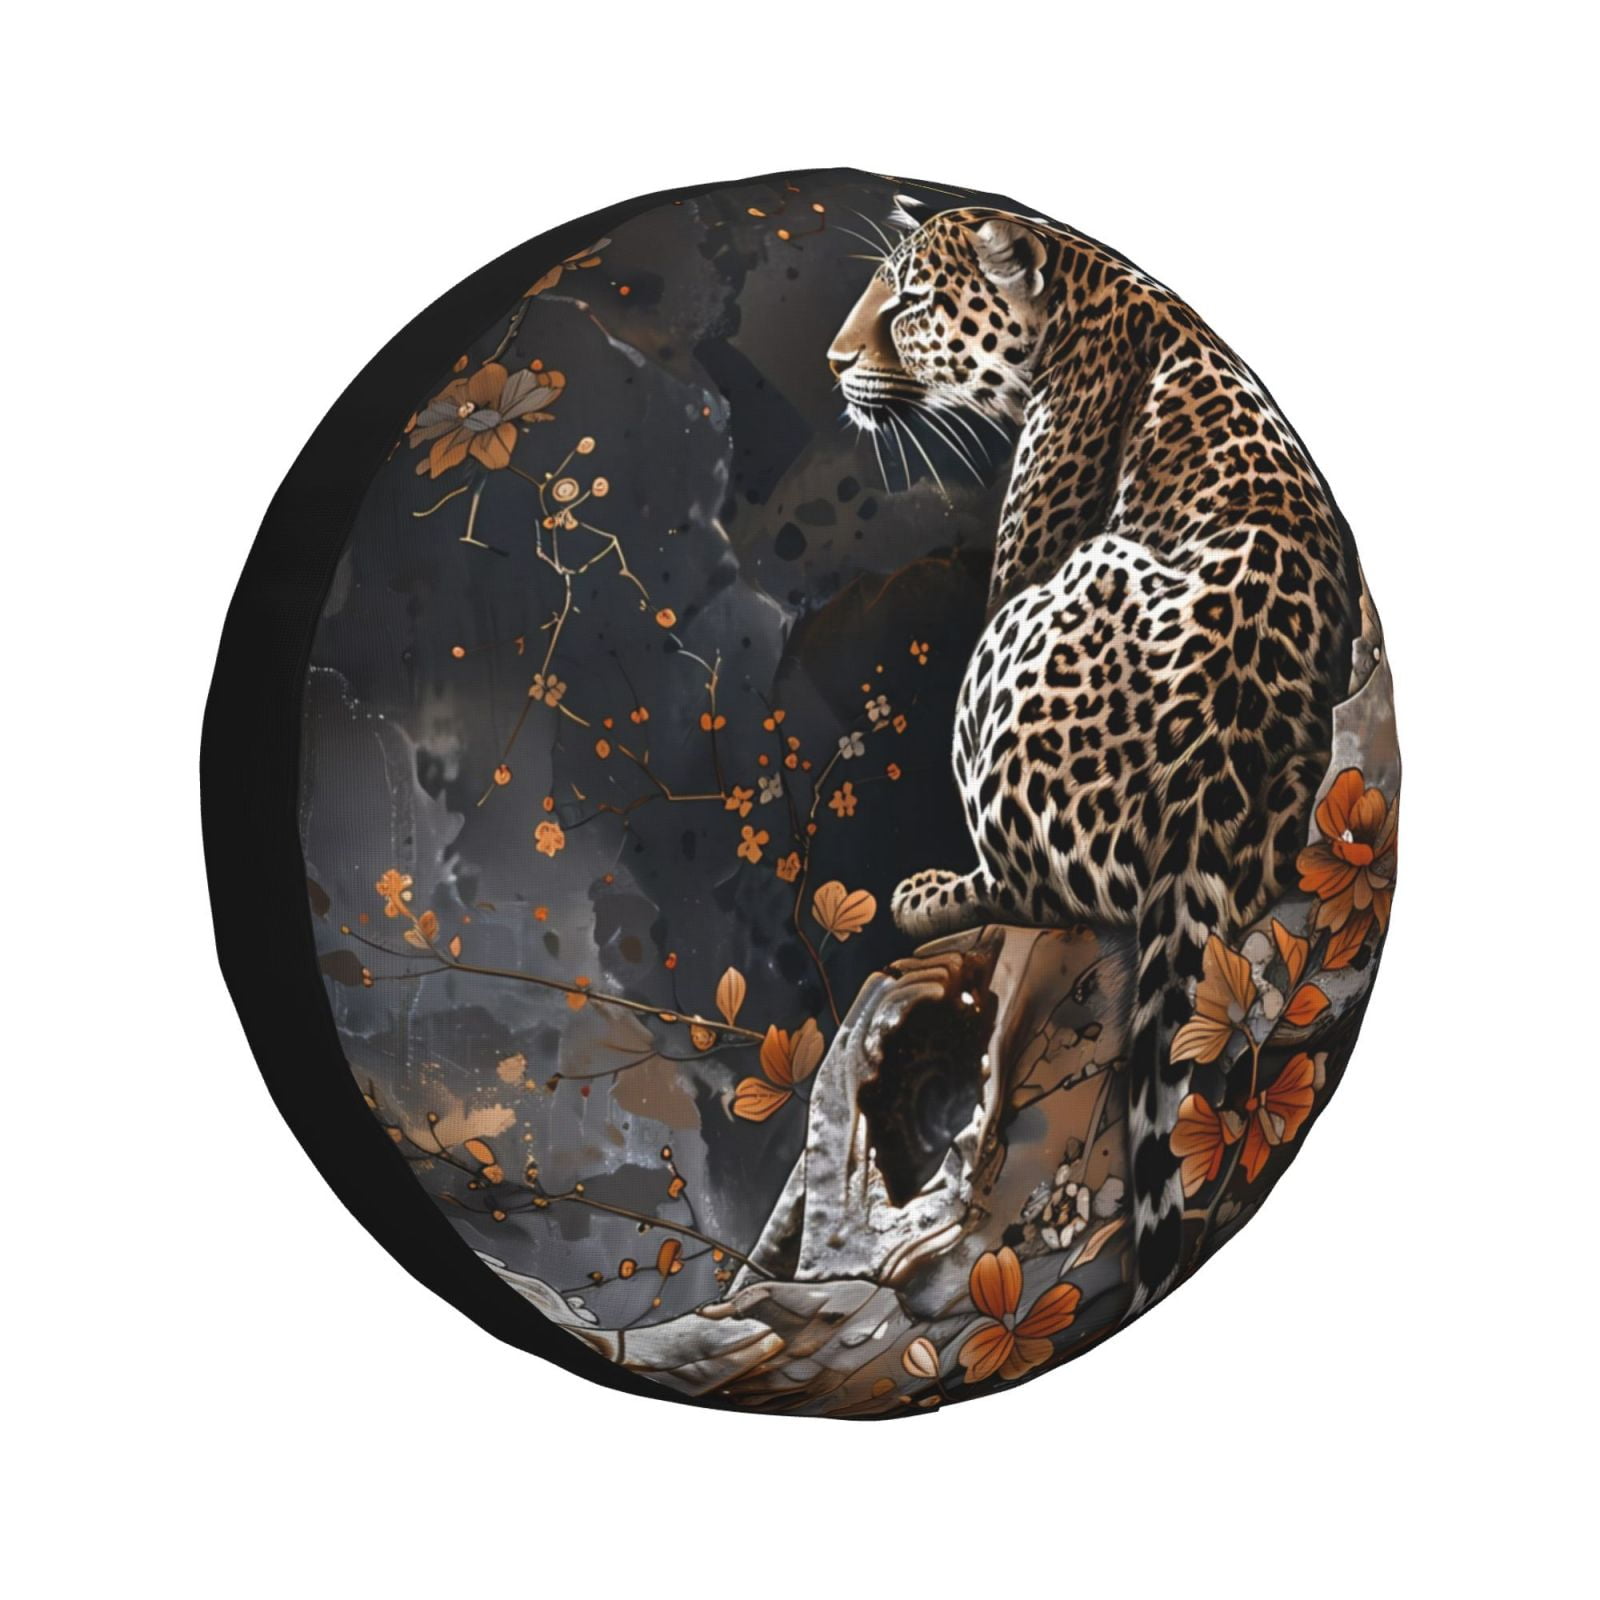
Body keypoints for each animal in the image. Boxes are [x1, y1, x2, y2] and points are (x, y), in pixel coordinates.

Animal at [827, 196, 1365, 1316]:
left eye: (910, 302)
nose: (832, 359)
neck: (1084, 293)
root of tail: (1206, 773)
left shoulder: (1031, 538)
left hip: (1034, 617)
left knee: (1035, 887)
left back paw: (931, 895)